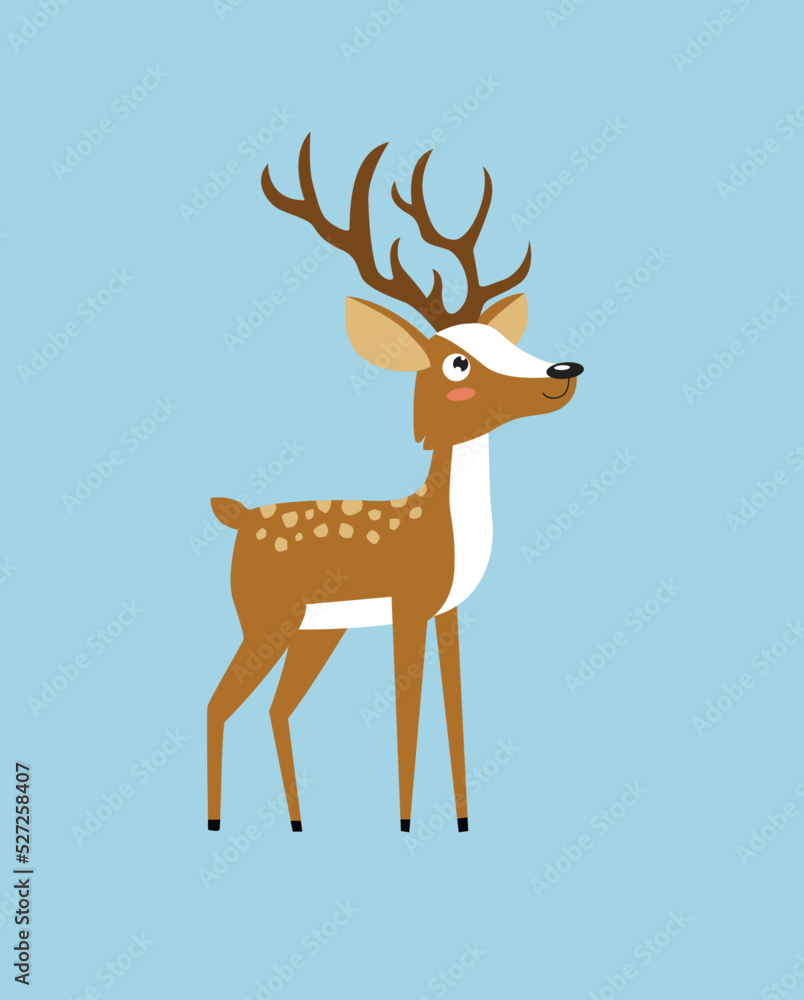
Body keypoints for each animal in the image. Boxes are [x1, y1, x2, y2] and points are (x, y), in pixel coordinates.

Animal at [207, 134, 583, 834]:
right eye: (458, 360)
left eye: (498, 339)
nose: (564, 369)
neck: (440, 526)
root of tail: (237, 514)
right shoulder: (407, 606)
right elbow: (410, 713)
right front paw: (406, 824)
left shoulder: (448, 612)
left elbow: (455, 709)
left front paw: (462, 822)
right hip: (265, 617)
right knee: (220, 703)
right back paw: (219, 822)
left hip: (313, 633)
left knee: (275, 708)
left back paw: (299, 822)